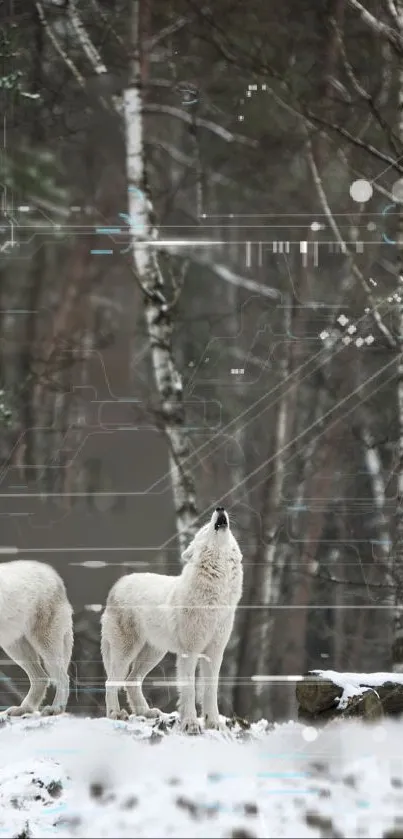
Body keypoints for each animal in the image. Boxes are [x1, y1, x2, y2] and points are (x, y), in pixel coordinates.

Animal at [0, 560, 73, 716]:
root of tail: (55, 576)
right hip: (15, 648)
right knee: (41, 678)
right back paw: (24, 709)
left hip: (45, 646)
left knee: (63, 678)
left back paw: (55, 709)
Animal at [101, 507, 243, 733]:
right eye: (204, 528)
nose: (220, 508)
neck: (215, 598)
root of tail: (117, 585)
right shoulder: (189, 652)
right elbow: (190, 690)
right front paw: (191, 724)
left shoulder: (214, 652)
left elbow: (210, 690)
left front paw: (214, 723)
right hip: (126, 652)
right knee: (111, 681)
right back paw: (115, 713)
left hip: (153, 654)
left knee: (132, 680)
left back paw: (146, 712)